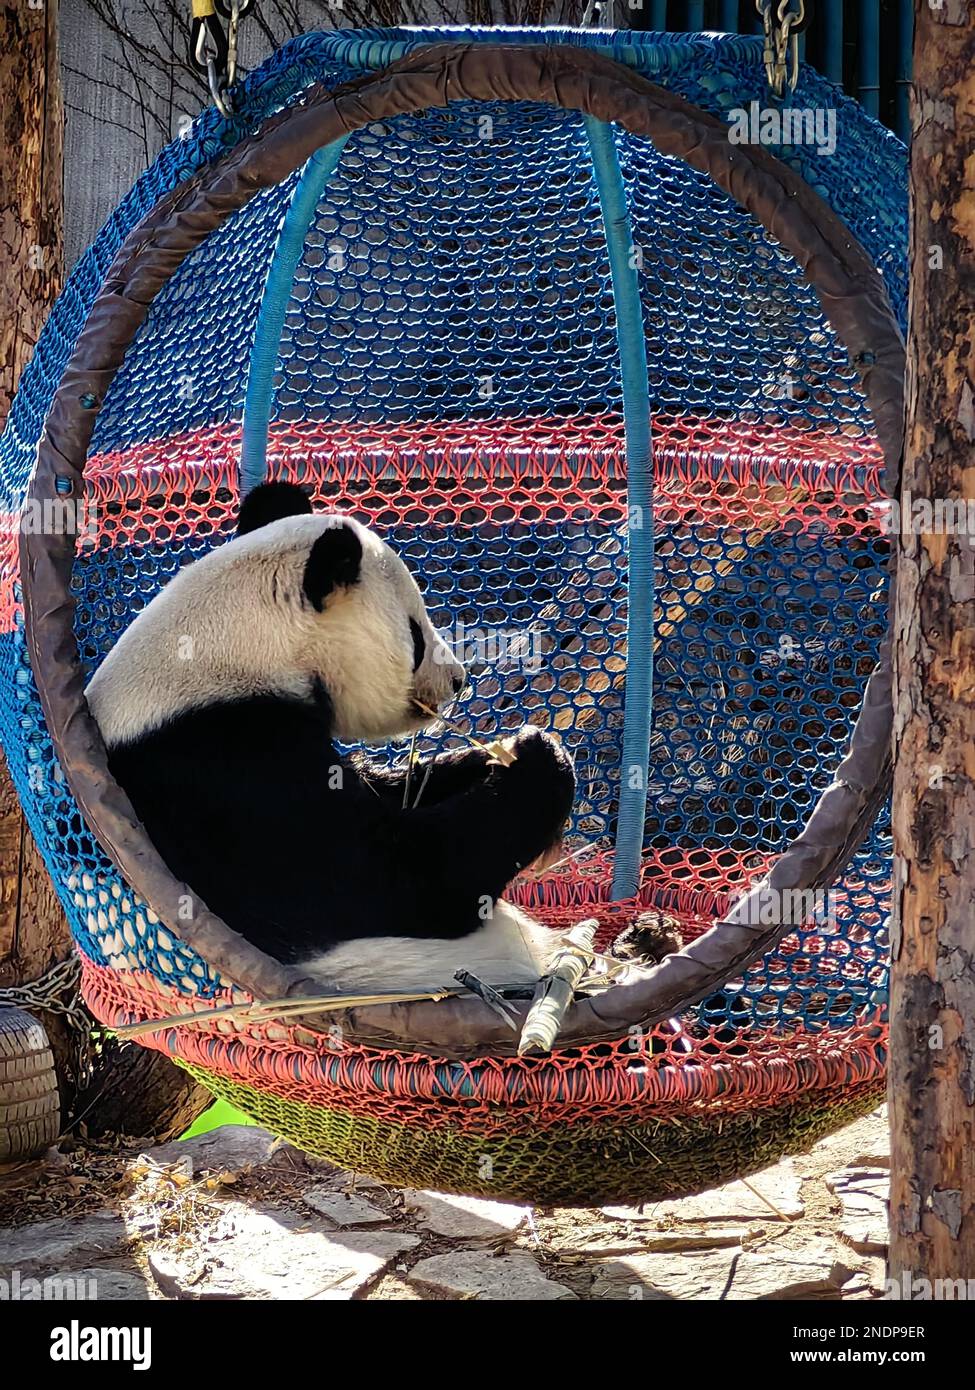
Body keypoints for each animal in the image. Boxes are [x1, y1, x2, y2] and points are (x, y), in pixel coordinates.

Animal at [84, 481, 576, 993]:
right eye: (415, 636)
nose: (457, 680)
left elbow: (389, 790)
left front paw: (487, 759)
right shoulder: (225, 775)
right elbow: (397, 879)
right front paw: (539, 759)